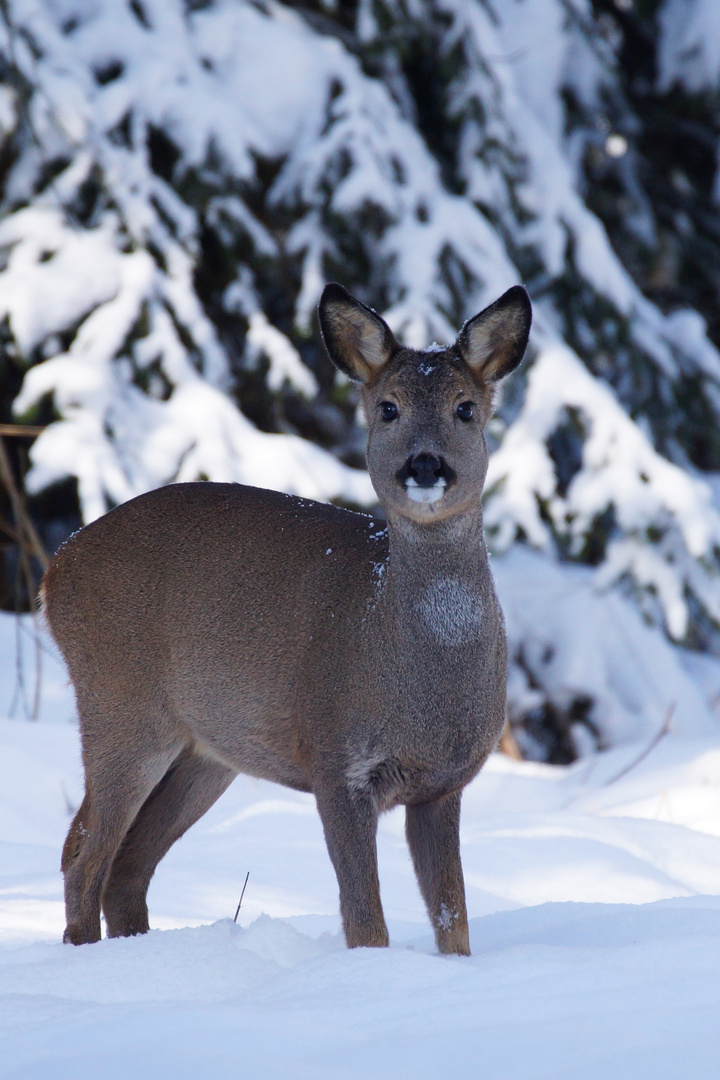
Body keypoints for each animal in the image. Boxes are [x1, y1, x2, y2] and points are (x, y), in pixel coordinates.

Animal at [43, 282, 528, 959]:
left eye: (465, 408)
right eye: (387, 408)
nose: (426, 466)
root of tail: (54, 570)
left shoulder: (443, 784)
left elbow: (453, 922)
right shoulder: (334, 758)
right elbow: (365, 923)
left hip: (207, 749)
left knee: (128, 864)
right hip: (120, 704)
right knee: (82, 853)